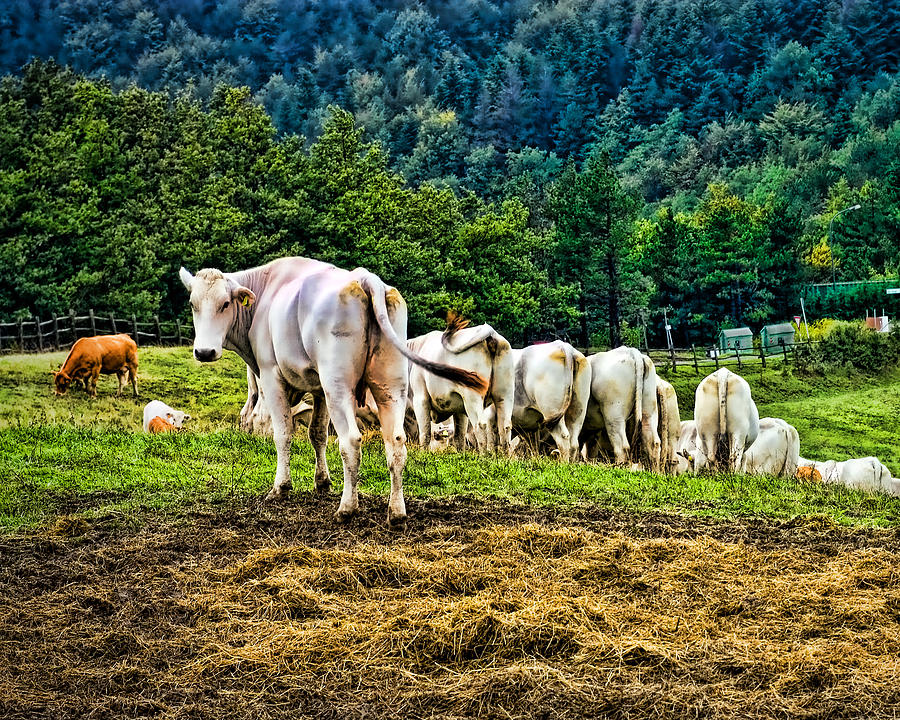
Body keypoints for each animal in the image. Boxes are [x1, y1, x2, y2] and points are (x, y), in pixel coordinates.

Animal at [179, 257, 486, 529]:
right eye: (193, 304)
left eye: (225, 303)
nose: (204, 352)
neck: (265, 293)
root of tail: (365, 279)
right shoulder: (319, 390)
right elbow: (317, 434)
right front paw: (322, 482)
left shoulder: (272, 376)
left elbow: (284, 433)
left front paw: (281, 487)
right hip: (389, 385)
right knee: (396, 442)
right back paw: (396, 513)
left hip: (338, 385)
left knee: (350, 441)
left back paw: (347, 509)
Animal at [407, 316, 514, 454]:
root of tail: (490, 333)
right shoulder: (459, 408)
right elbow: (459, 436)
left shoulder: (420, 397)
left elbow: (425, 432)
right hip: (505, 393)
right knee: (505, 426)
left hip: (472, 397)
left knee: (480, 425)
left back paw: (484, 456)